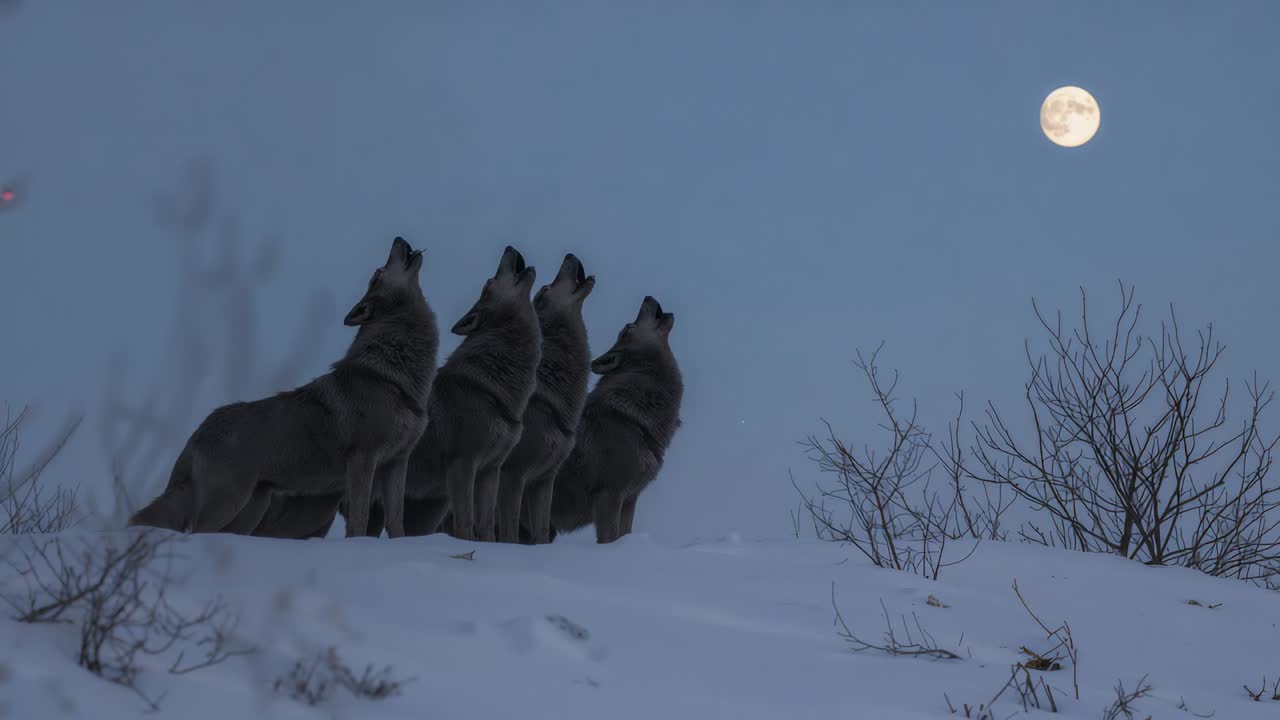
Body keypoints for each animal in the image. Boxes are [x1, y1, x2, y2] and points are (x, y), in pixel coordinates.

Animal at [129, 237, 438, 538]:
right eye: (378, 273)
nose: (398, 238)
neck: (392, 376)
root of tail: (199, 431)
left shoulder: (397, 462)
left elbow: (397, 525)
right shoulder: (363, 461)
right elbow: (359, 525)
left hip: (251, 510)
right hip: (228, 505)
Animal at [401, 246, 541, 541]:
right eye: (489, 283)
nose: (509, 248)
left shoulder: (491, 470)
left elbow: (486, 525)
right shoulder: (463, 464)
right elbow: (466, 524)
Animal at [490, 253, 595, 543]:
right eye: (547, 288)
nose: (569, 254)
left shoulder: (544, 480)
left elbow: (539, 535)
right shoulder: (513, 474)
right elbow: (510, 533)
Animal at [549, 296, 683, 544]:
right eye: (627, 329)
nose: (647, 297)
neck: (631, 418)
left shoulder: (630, 499)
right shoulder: (610, 496)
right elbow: (609, 539)